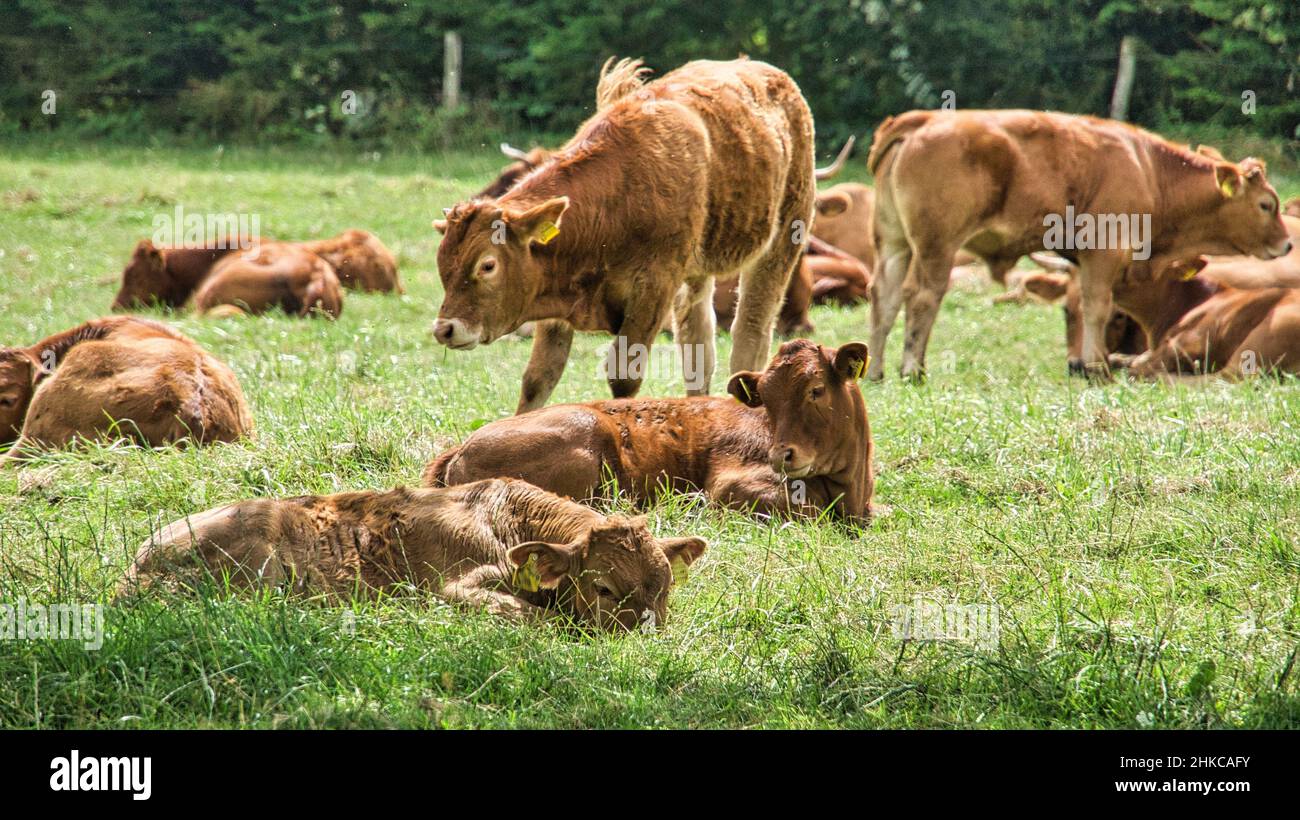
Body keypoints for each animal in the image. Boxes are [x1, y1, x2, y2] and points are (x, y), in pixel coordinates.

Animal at [116, 478, 707, 632]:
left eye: (665, 590)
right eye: (604, 589)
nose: (649, 638)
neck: (508, 516)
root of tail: (138, 565)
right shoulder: (455, 587)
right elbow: (534, 617)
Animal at [424, 340, 874, 521]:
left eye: (816, 390)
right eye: (764, 398)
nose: (781, 454)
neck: (852, 484)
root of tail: (459, 450)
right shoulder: (731, 485)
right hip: (585, 430)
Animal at [431, 57, 816, 414]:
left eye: (487, 265)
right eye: (442, 264)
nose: (445, 329)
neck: (619, 195)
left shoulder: (653, 290)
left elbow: (624, 376)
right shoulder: (555, 298)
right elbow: (539, 378)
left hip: (782, 243)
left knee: (750, 332)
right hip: (697, 274)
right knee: (698, 343)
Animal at [866, 110, 1292, 381]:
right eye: (1266, 204)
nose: (1287, 243)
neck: (1150, 171)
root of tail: (924, 119)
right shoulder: (1104, 252)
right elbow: (1097, 306)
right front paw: (1096, 368)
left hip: (894, 243)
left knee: (884, 296)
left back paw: (876, 370)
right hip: (936, 246)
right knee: (923, 296)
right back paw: (912, 369)